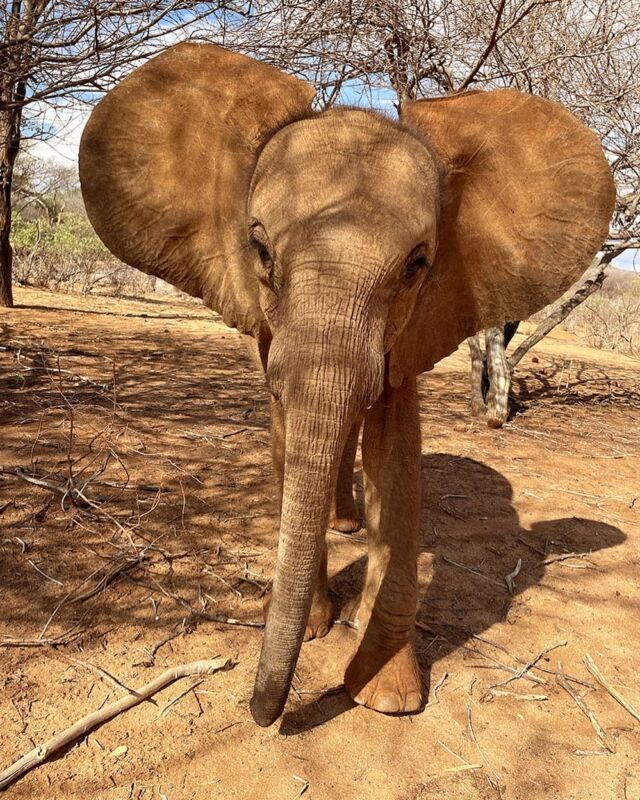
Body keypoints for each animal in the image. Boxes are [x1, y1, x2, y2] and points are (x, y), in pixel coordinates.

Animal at [78, 42, 615, 728]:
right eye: (260, 250)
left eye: (417, 264)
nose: (266, 713)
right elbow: (288, 431)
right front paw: (314, 628)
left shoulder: (420, 320)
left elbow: (397, 452)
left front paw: (386, 694)